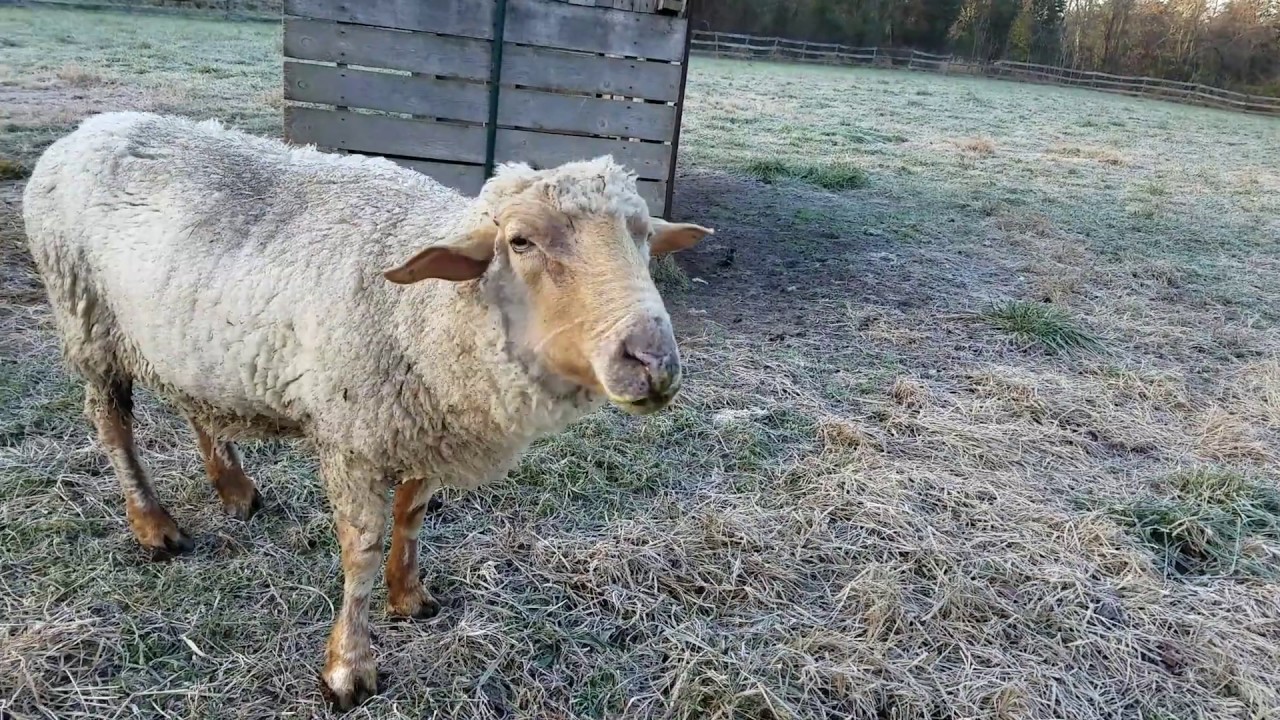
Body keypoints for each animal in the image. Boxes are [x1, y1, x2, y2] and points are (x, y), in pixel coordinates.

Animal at [21, 111, 713, 709]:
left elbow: (412, 516)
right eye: (520, 242)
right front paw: (348, 668)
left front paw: (409, 596)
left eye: (645, 236)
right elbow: (360, 549)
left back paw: (234, 488)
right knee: (113, 427)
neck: (421, 310)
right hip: (86, 320)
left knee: (197, 407)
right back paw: (153, 525)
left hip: (184, 340)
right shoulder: (352, 436)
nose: (653, 360)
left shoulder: (426, 424)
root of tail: (91, 126)